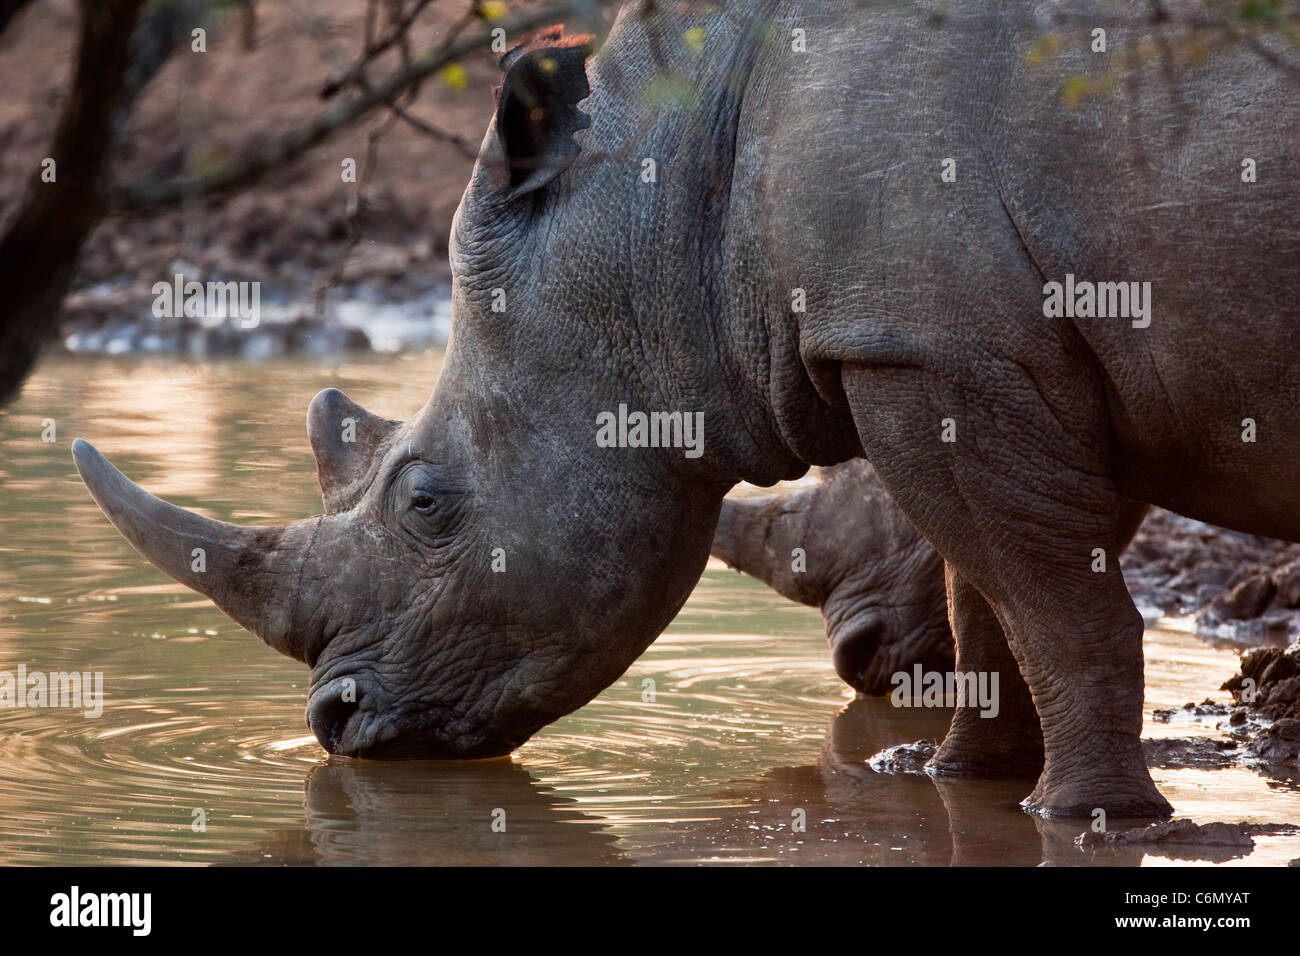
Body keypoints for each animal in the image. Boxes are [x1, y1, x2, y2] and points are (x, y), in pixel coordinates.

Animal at [73, 2, 1300, 818]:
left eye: (426, 503)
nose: (332, 728)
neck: (666, 210)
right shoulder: (949, 348)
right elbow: (988, 590)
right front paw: (960, 781)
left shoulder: (930, 346)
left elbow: (1049, 601)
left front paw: (1086, 820)